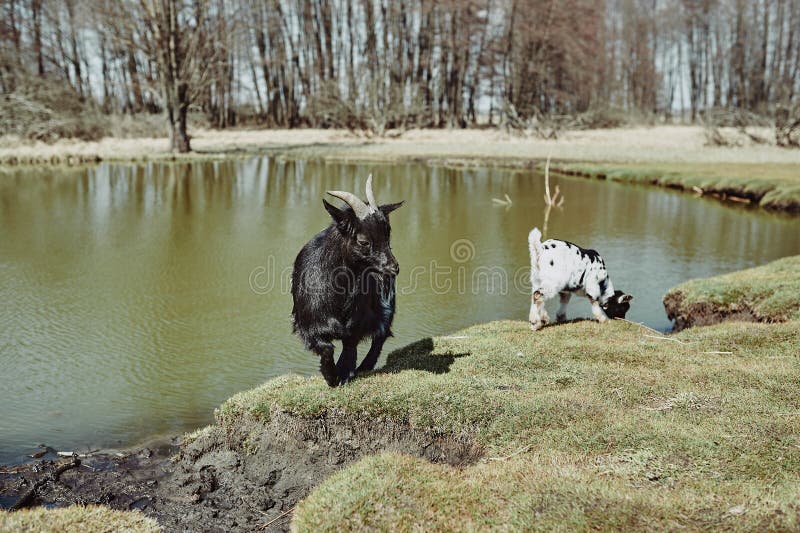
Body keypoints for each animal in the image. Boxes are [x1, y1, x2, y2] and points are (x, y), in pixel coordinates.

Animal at [291, 176, 403, 386]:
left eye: (388, 234)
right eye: (363, 241)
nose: (393, 268)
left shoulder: (360, 320)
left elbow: (350, 344)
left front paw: (344, 372)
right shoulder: (308, 325)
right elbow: (327, 348)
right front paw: (331, 376)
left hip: (386, 304)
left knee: (380, 336)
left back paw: (364, 367)